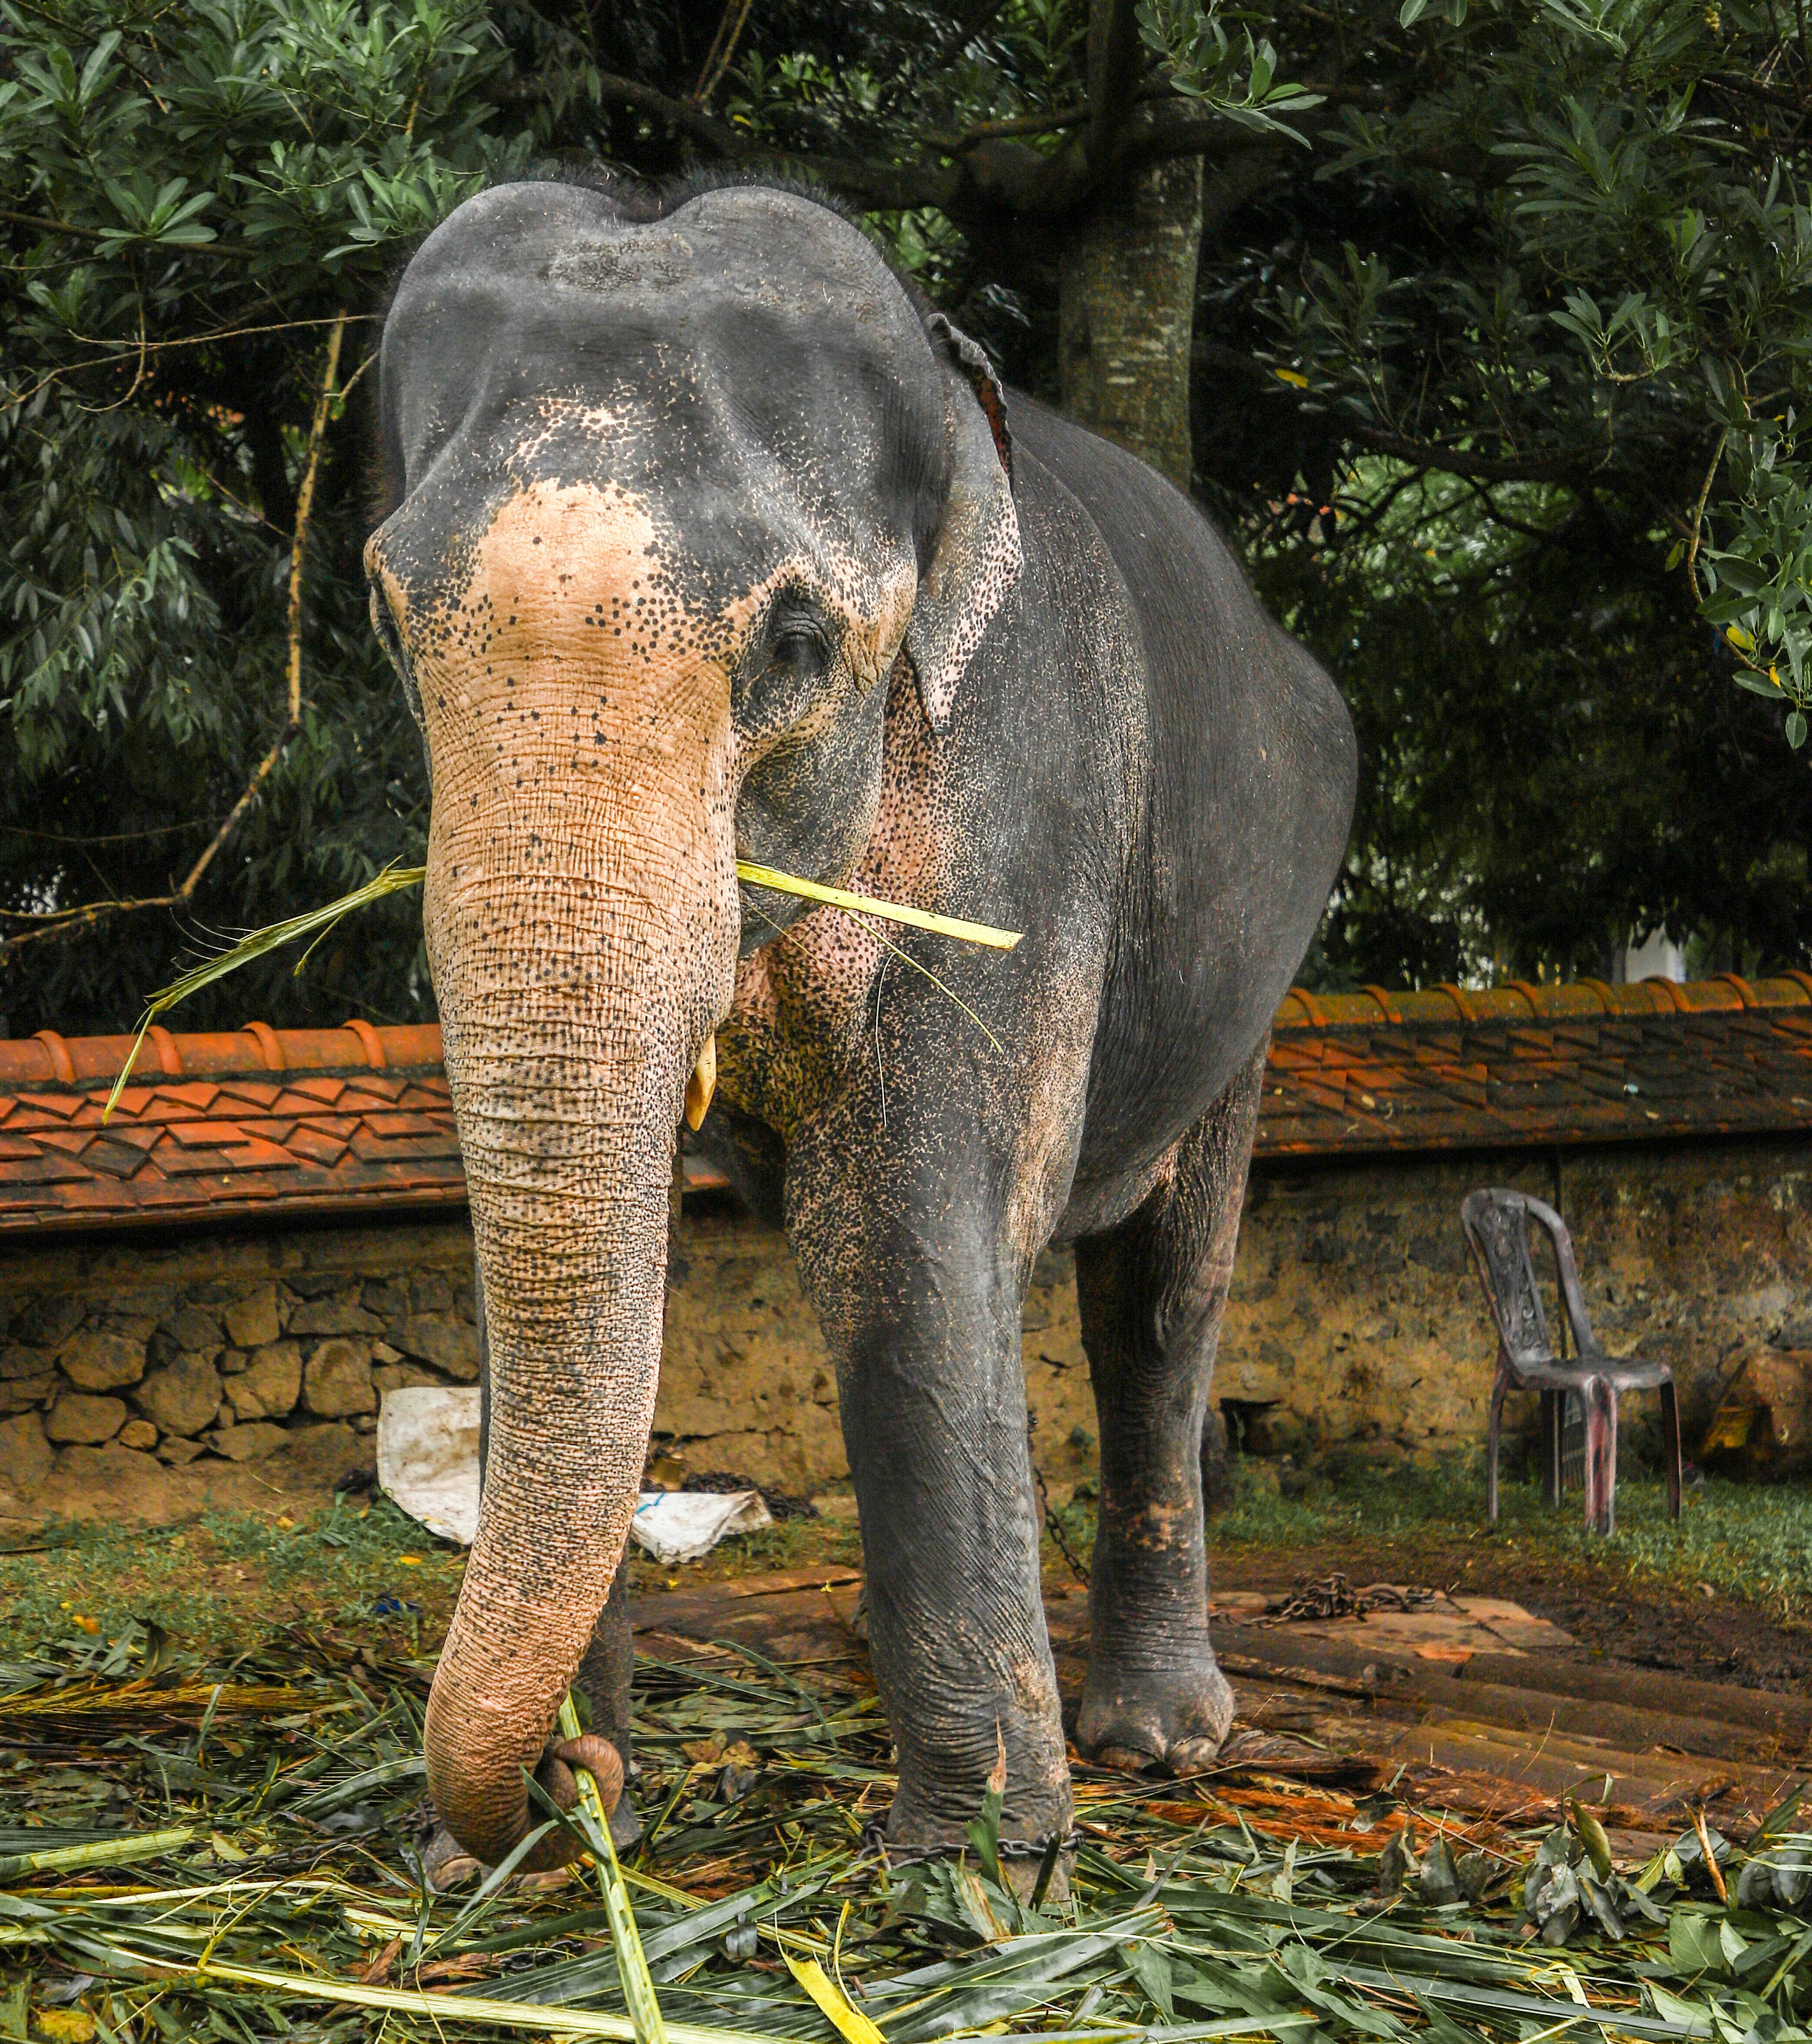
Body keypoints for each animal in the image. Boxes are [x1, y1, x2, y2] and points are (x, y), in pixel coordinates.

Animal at [364, 169, 1357, 1879]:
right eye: (387, 611)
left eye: (793, 643)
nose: (571, 1788)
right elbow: (540, 1261)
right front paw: (507, 1858)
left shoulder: (1013, 821)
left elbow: (898, 1238)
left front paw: (979, 1871)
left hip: (1249, 983)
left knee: (1163, 1298)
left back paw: (1156, 1740)